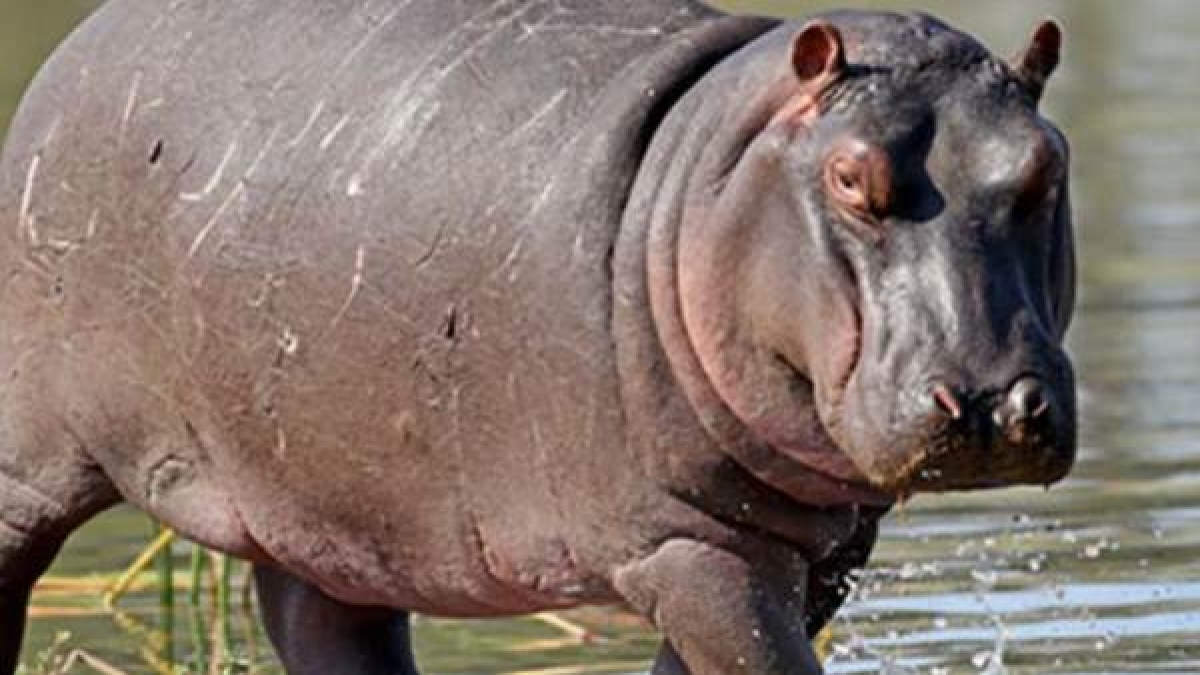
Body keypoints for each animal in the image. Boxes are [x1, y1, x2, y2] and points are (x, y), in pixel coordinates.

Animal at [0, 1, 1075, 673]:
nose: (991, 400)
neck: (721, 161)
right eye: (851, 178)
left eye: (1046, 164)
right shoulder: (693, 545)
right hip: (38, 452)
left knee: (324, 623)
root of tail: (74, 49)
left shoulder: (818, 545)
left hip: (324, 497)